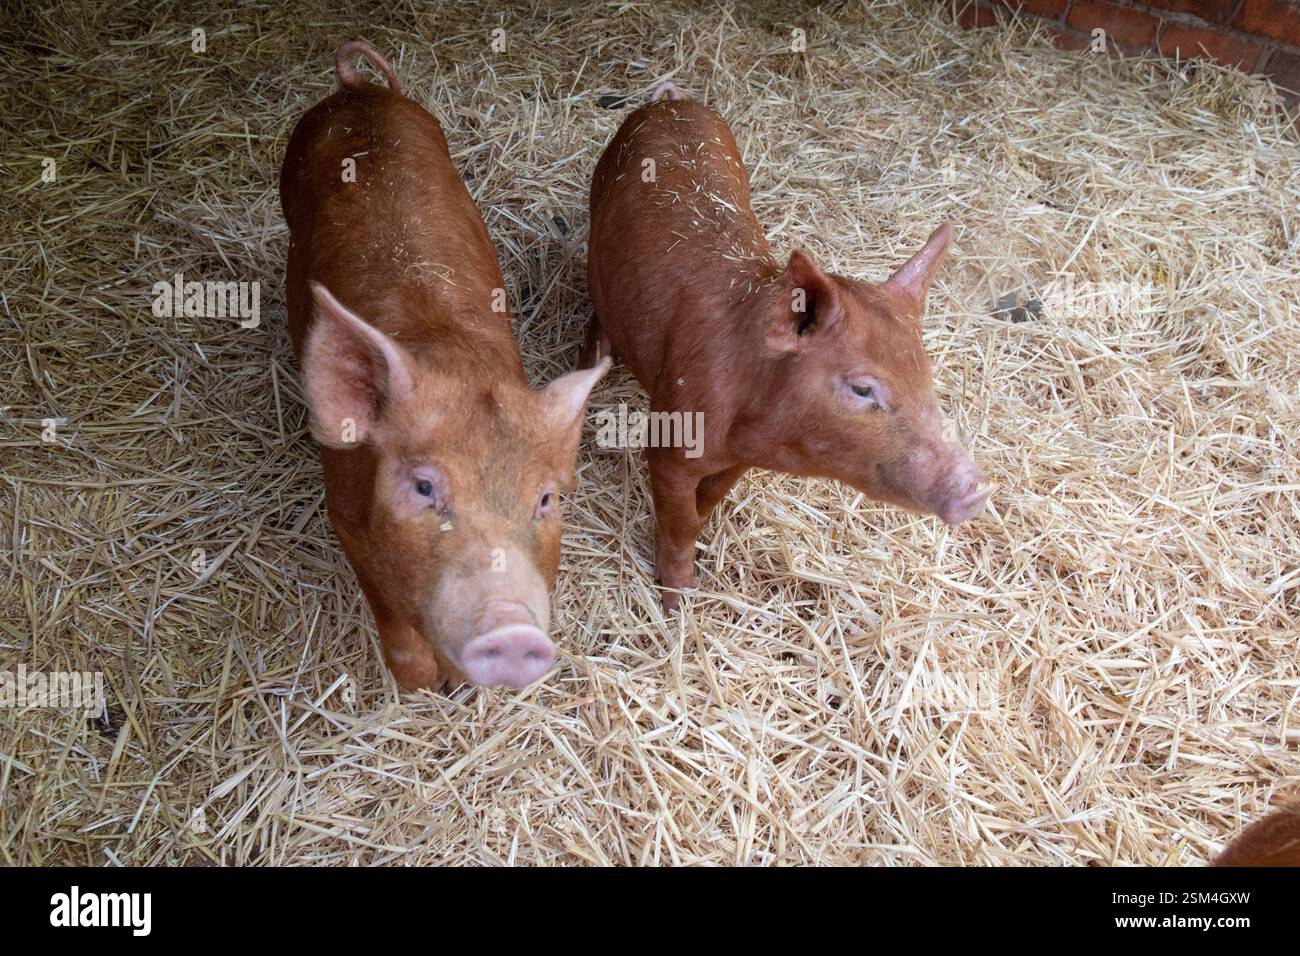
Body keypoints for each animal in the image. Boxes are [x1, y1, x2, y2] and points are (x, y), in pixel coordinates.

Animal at [280, 40, 609, 689]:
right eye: (424, 486)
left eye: (545, 499)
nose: (514, 632)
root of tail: (355, 89)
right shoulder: (344, 516)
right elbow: (391, 619)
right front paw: (416, 688)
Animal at [582, 85, 989, 608]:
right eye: (862, 389)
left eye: (926, 377)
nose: (978, 489)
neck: (755, 425)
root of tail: (670, 101)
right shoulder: (670, 441)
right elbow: (682, 520)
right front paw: (677, 600)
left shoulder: (739, 460)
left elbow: (709, 504)